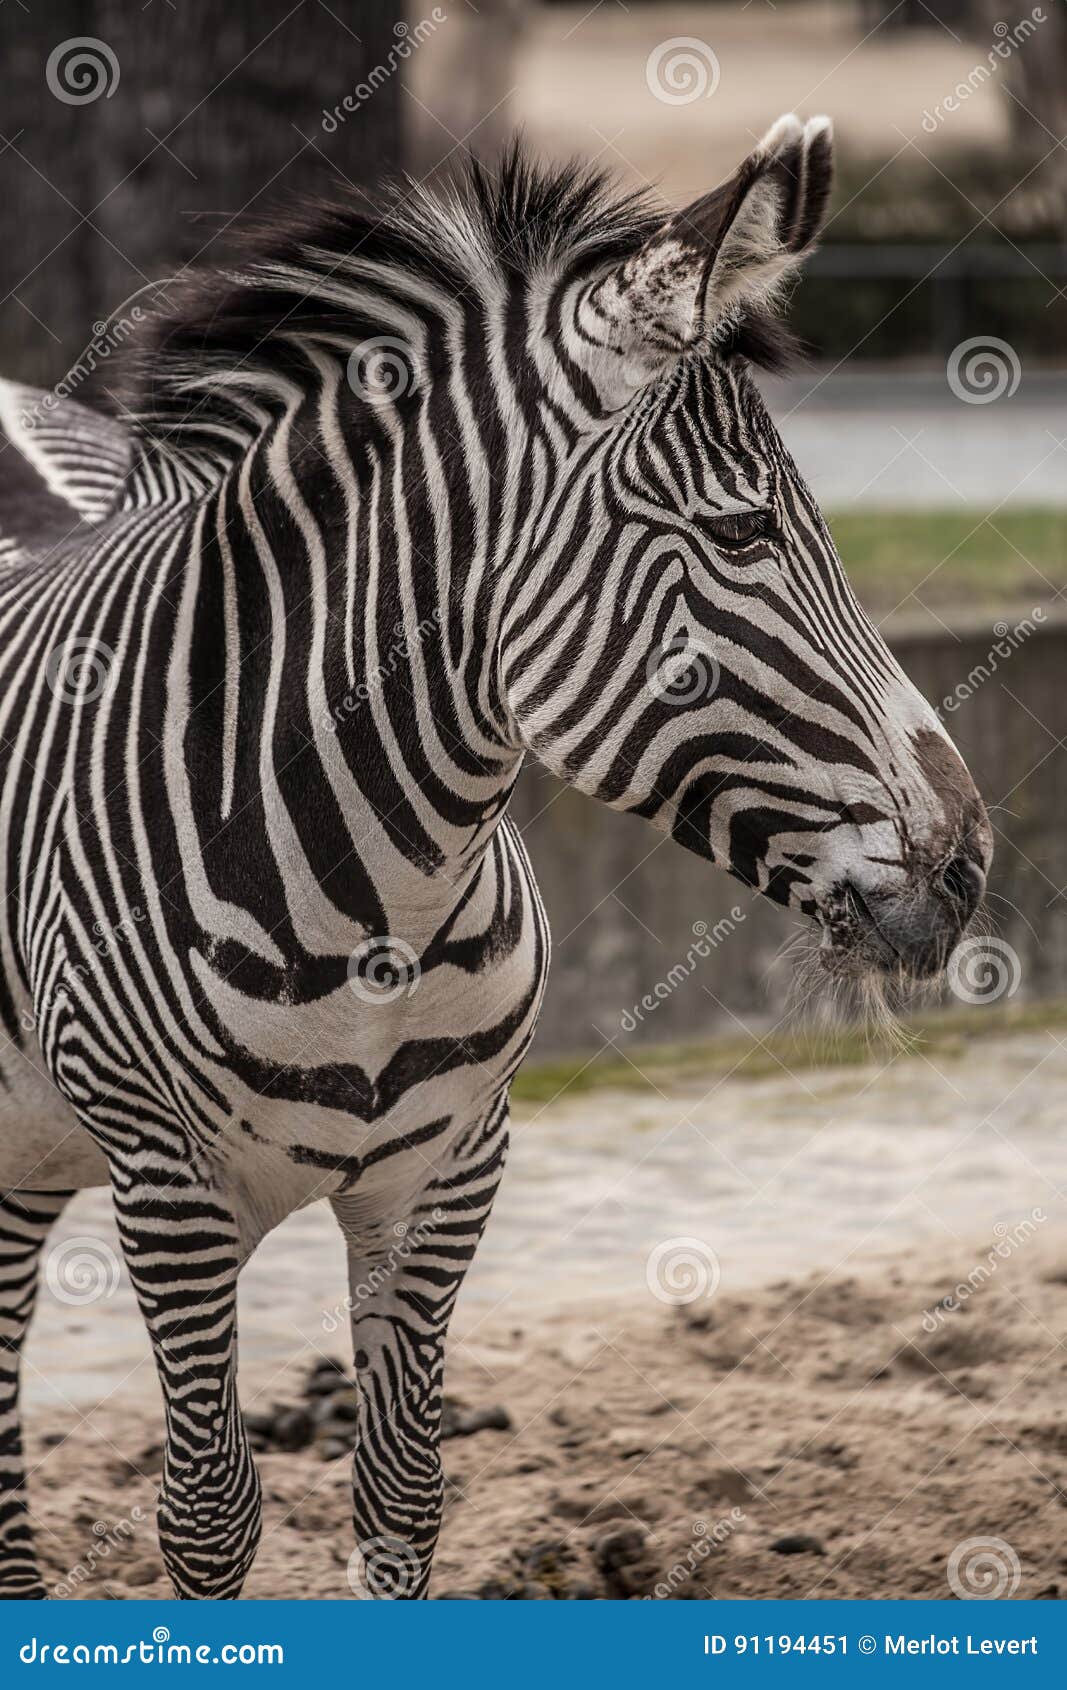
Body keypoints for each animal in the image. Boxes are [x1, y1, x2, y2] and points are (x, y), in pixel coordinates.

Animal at [0, 115, 990, 1601]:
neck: (373, 907)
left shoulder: (449, 1167)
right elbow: (208, 1514)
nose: (966, 867)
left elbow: (403, 1492)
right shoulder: (170, 1185)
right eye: (743, 531)